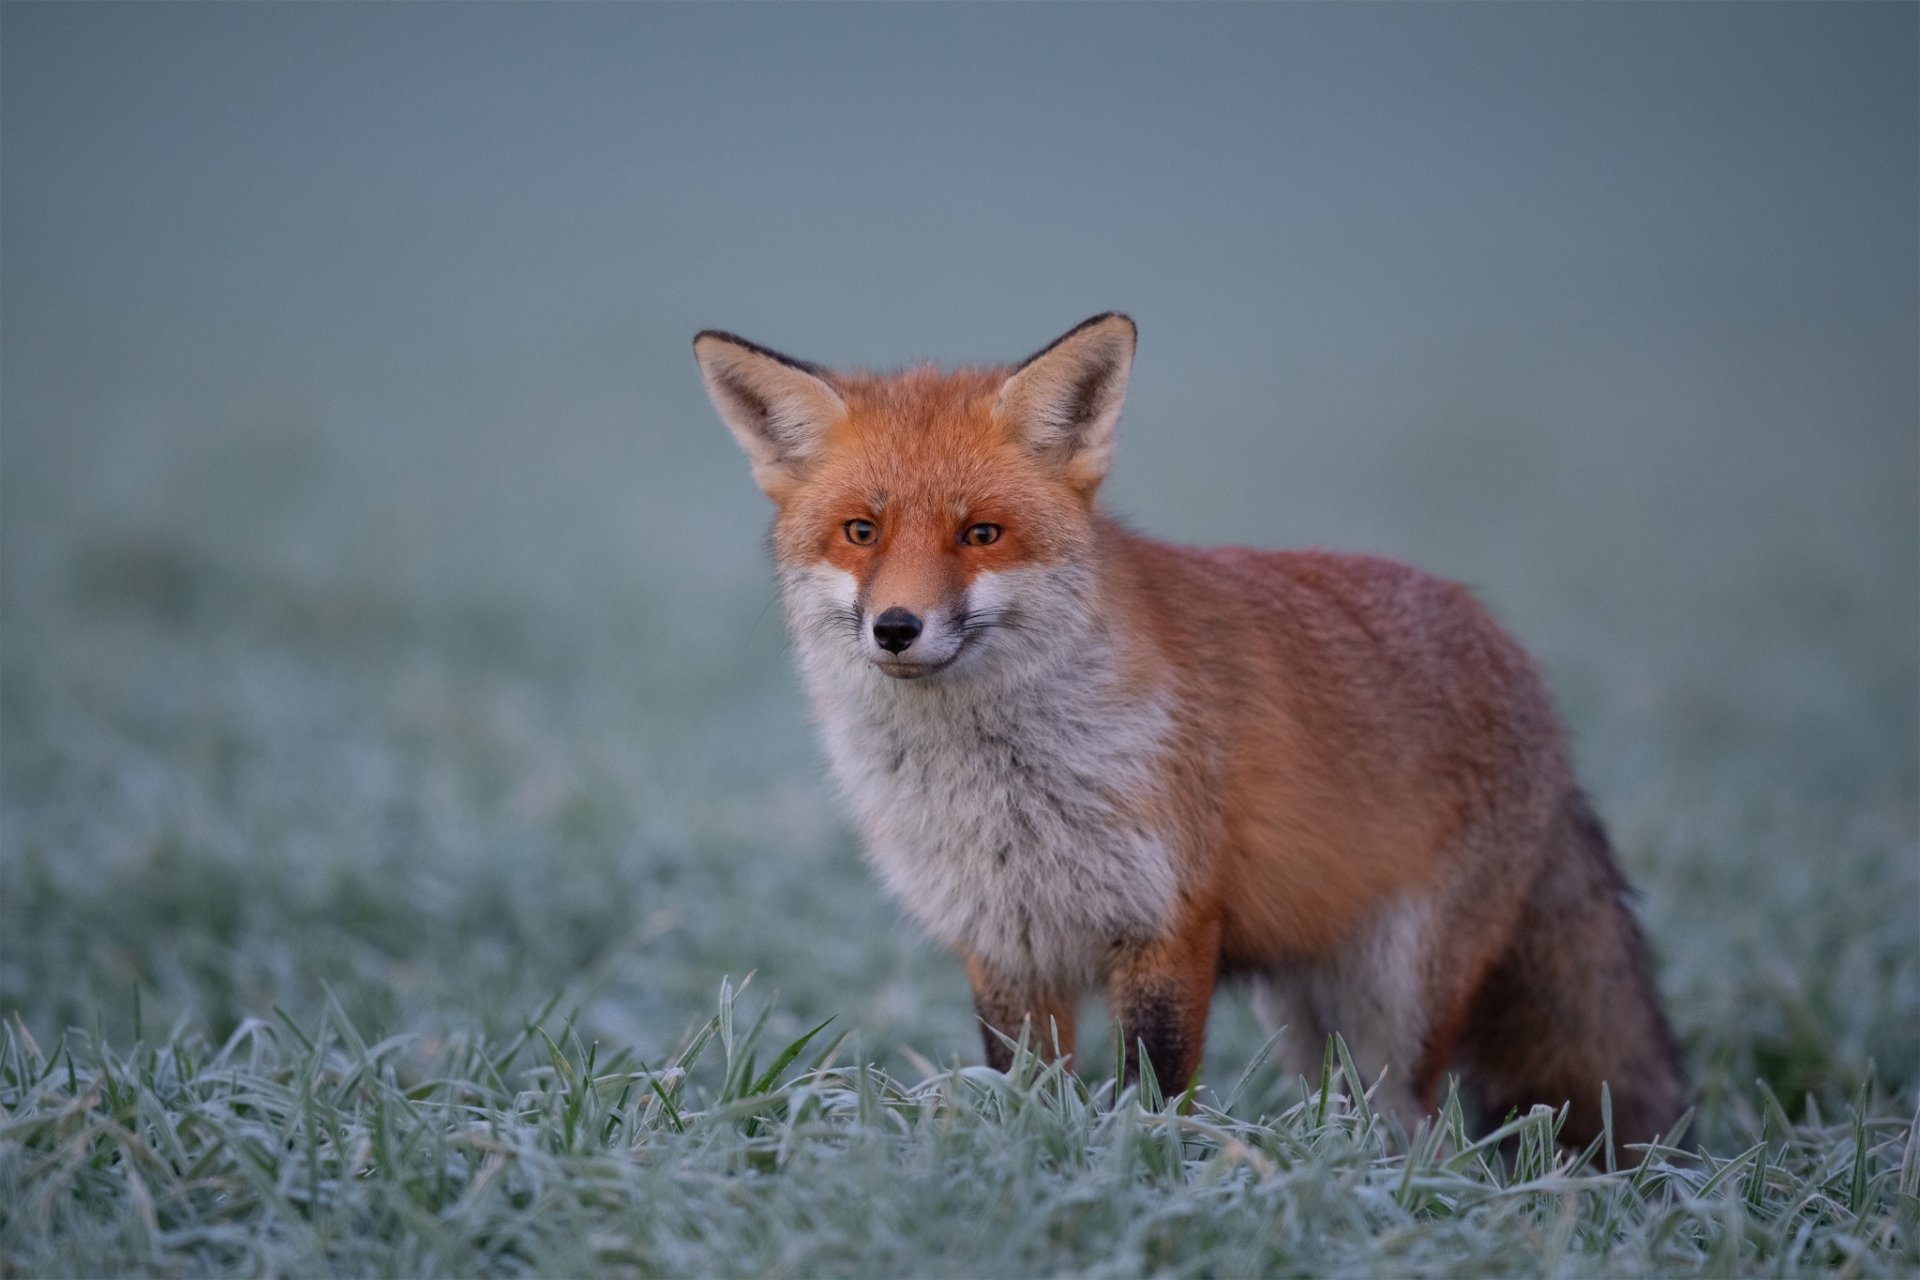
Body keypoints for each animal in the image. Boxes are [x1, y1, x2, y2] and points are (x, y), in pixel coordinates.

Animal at [692, 313, 1688, 1154]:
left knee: (1420, 1125)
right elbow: (1025, 1088)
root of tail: (1518, 657)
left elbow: (1155, 1088)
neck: (1000, 786)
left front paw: (1149, 1169)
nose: (895, 628)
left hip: (1396, 1001)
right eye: (861, 531)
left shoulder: (1167, 922)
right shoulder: (1007, 941)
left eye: (981, 534)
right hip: (1308, 1016)